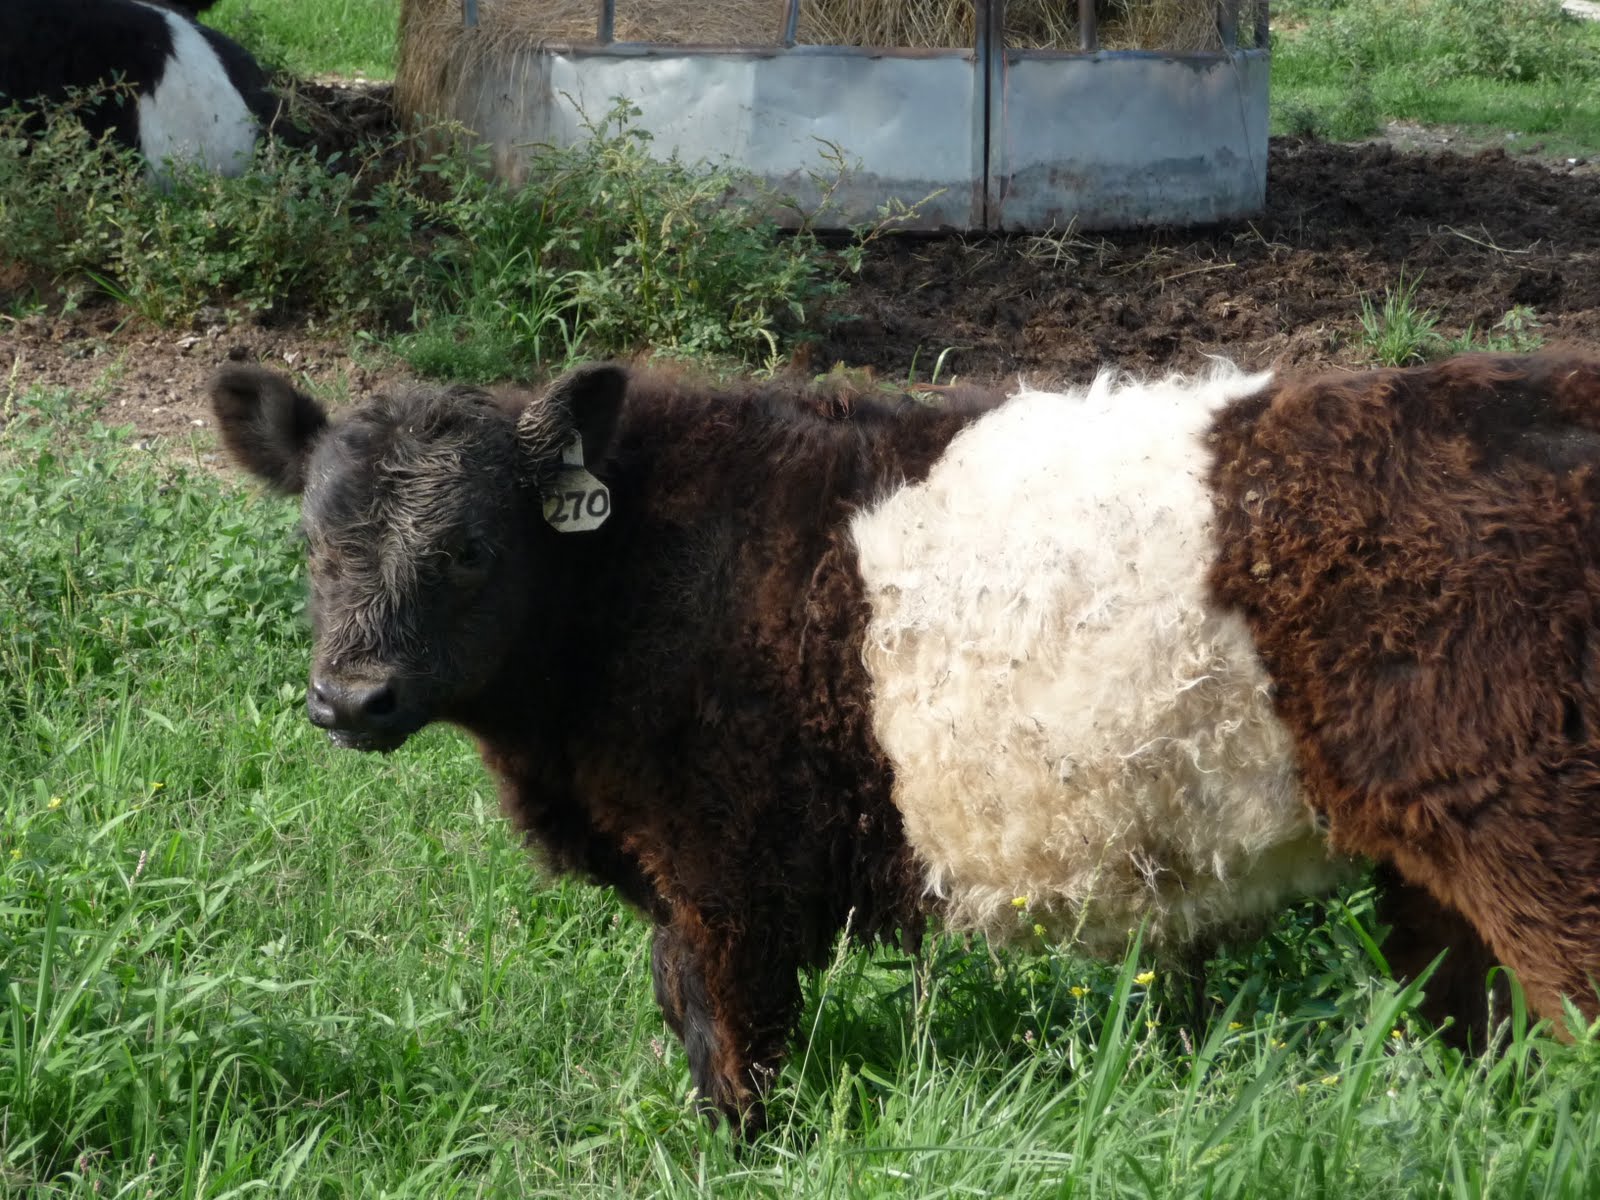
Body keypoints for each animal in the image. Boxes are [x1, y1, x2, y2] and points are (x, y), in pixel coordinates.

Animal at [208, 349, 1600, 1134]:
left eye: (471, 549)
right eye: (313, 543)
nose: (351, 699)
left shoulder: (727, 867)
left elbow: (732, 1041)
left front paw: (740, 1154)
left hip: (1541, 835)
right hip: (1426, 856)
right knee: (1472, 1016)